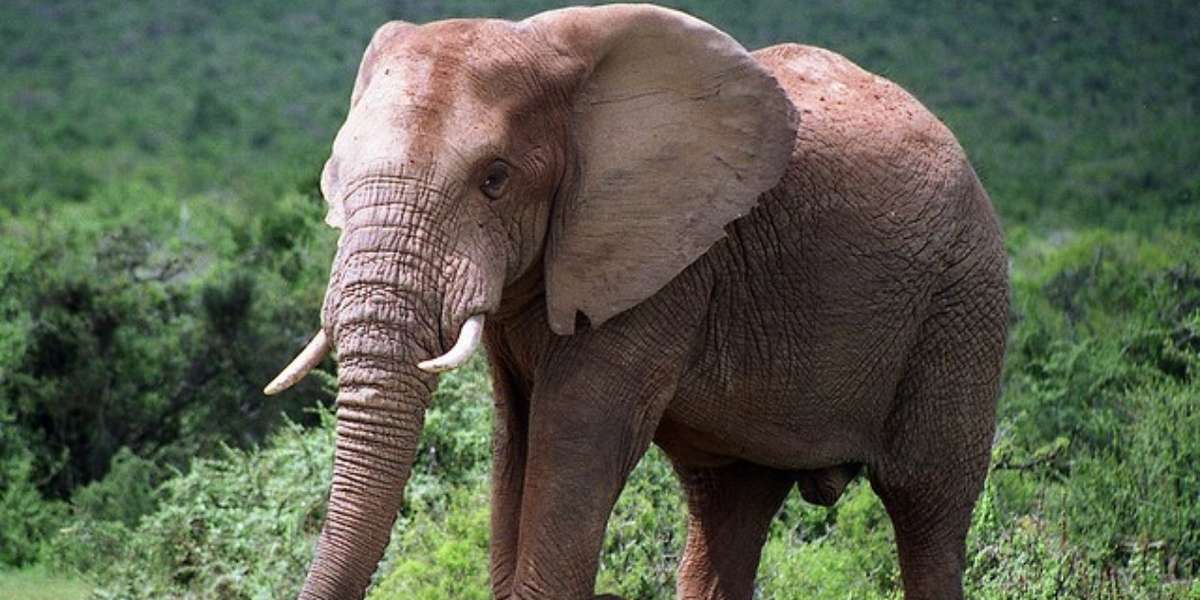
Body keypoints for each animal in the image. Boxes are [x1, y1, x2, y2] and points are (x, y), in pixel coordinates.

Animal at [264, 4, 1008, 600]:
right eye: (335, 180)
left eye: (494, 179)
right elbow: (516, 441)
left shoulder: (665, 263)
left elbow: (575, 439)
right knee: (728, 508)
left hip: (963, 304)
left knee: (928, 512)